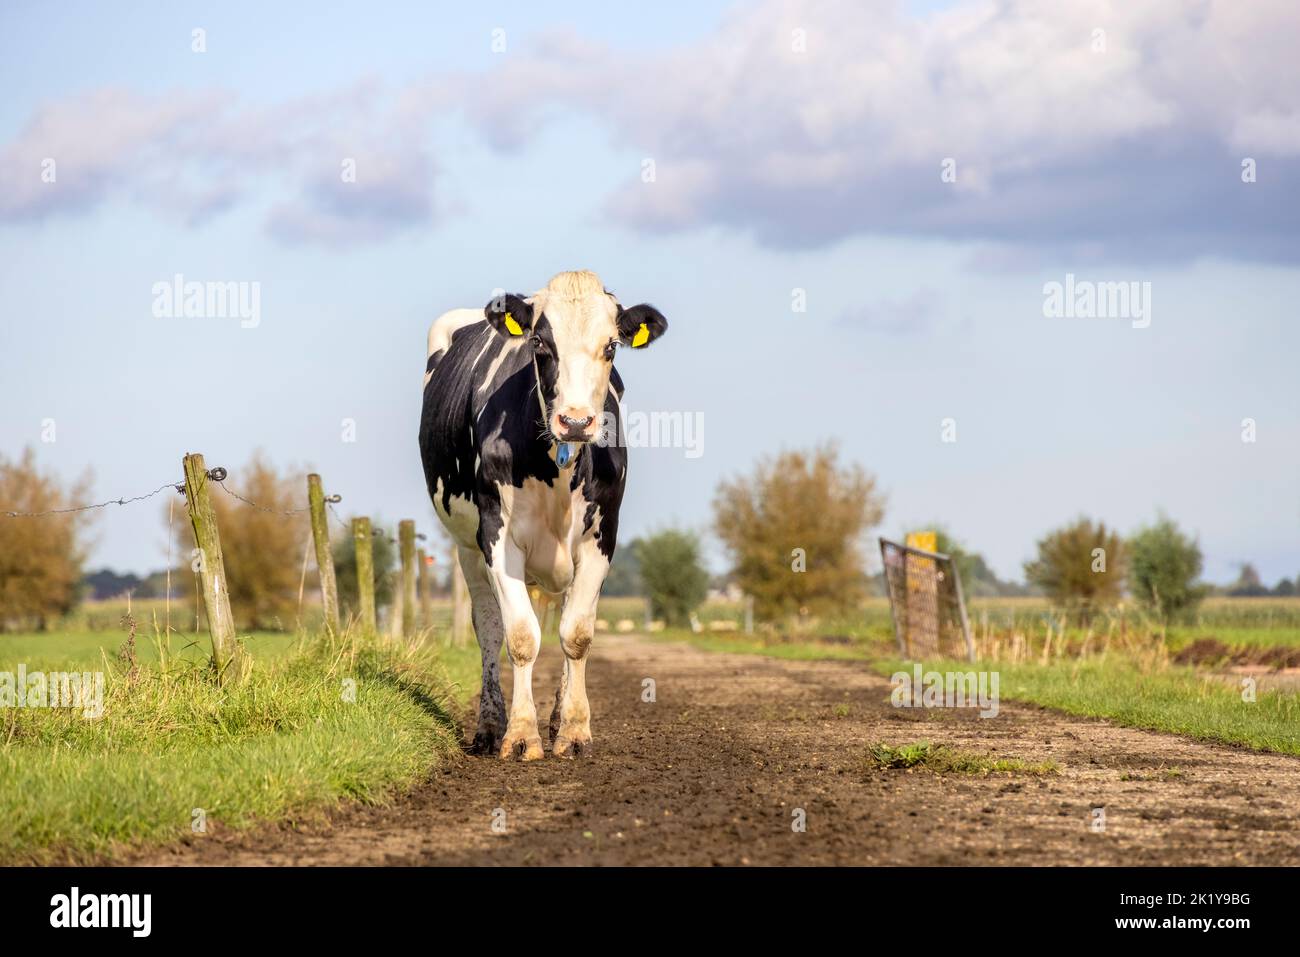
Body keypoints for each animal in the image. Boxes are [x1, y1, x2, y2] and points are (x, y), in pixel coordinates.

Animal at [419, 270, 668, 760]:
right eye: (538, 343)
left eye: (611, 346)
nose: (576, 422)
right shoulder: (496, 536)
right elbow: (519, 636)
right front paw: (519, 735)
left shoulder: (602, 536)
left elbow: (576, 634)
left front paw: (572, 730)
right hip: (465, 547)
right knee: (488, 629)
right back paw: (490, 726)